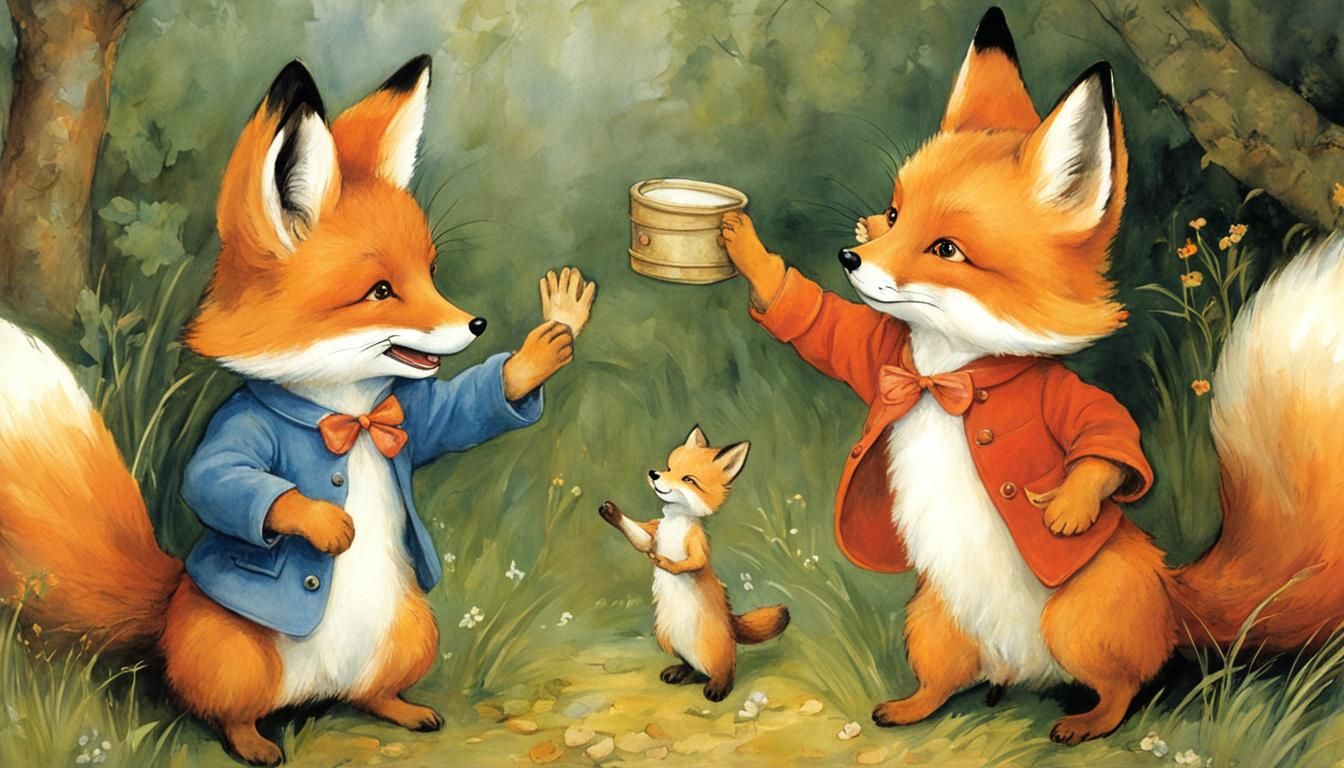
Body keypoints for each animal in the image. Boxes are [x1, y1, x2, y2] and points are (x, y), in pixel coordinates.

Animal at [0, 56, 597, 765]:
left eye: (429, 271)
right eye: (381, 291)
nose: (475, 325)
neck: (349, 416)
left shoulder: (411, 417)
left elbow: (466, 408)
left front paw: (539, 353)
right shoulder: (239, 426)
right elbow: (220, 479)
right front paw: (322, 523)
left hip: (411, 630)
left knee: (368, 693)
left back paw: (400, 708)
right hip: (238, 657)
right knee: (227, 712)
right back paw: (255, 744)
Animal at [598, 426, 789, 702]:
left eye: (688, 479)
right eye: (669, 467)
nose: (653, 473)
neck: (675, 523)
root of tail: (729, 622)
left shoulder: (697, 544)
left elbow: (691, 562)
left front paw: (665, 562)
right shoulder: (652, 536)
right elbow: (638, 537)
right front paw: (611, 512)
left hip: (712, 648)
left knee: (725, 668)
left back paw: (718, 688)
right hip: (666, 637)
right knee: (692, 665)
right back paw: (680, 672)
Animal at [718, 5, 1344, 746]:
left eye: (946, 249)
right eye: (895, 214)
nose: (850, 256)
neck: (950, 374)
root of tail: (1169, 590)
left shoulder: (1061, 399)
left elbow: (1108, 433)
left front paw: (1071, 504)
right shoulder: (876, 356)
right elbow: (817, 324)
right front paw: (747, 250)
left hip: (1074, 619)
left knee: (1124, 686)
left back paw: (1086, 721)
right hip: (932, 621)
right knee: (950, 681)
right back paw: (916, 705)